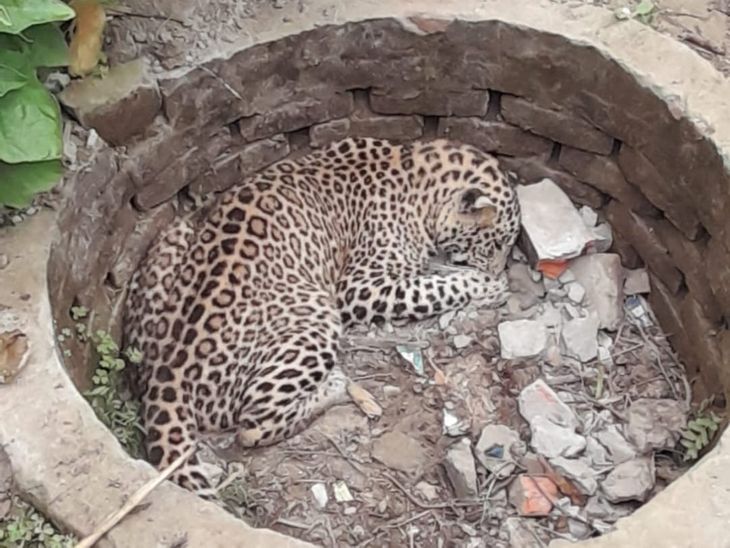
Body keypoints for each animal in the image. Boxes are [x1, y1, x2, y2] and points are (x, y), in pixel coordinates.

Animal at [123, 137, 521, 499]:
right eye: (496, 243)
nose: (500, 269)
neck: (416, 171)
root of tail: (167, 372)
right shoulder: (360, 286)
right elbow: (435, 288)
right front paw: (488, 285)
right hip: (316, 314)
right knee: (252, 425)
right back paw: (336, 386)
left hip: (175, 238)